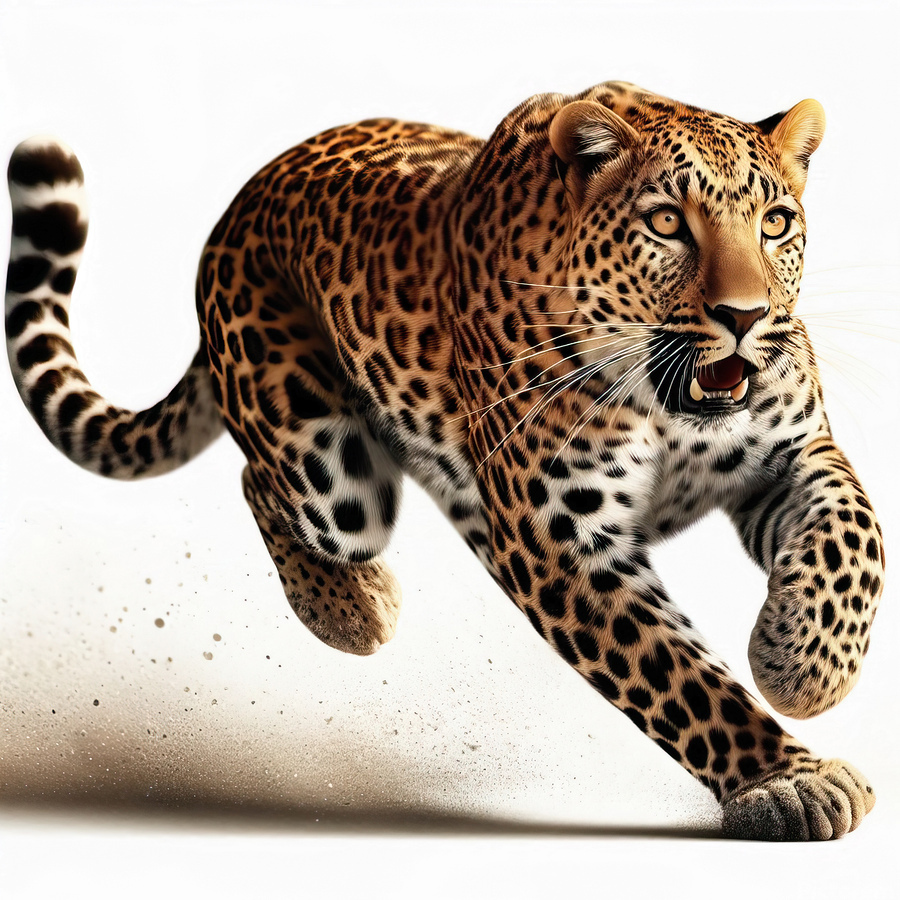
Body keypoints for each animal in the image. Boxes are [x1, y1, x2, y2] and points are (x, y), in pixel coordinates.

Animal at [5, 81, 885, 840]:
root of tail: (238, 205)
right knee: (261, 480)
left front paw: (805, 669)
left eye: (775, 223)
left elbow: (857, 538)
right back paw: (355, 609)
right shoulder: (558, 537)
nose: (746, 316)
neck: (663, 405)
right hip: (327, 470)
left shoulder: (794, 448)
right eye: (668, 223)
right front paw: (786, 779)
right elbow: (678, 675)